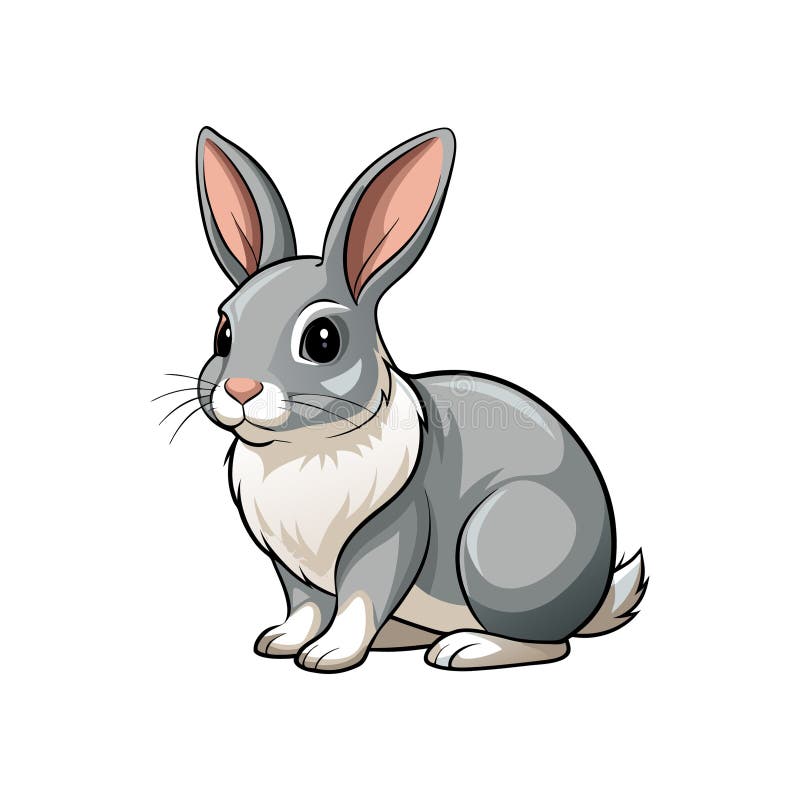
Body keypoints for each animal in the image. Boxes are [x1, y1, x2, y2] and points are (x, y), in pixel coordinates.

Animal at [190, 125, 647, 672]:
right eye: (223, 333)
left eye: (323, 340)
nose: (240, 390)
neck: (304, 448)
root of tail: (596, 596)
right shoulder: (291, 567)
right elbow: (304, 607)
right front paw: (279, 642)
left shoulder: (391, 534)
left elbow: (361, 599)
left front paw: (328, 655)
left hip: (495, 549)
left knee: (549, 643)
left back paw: (464, 648)